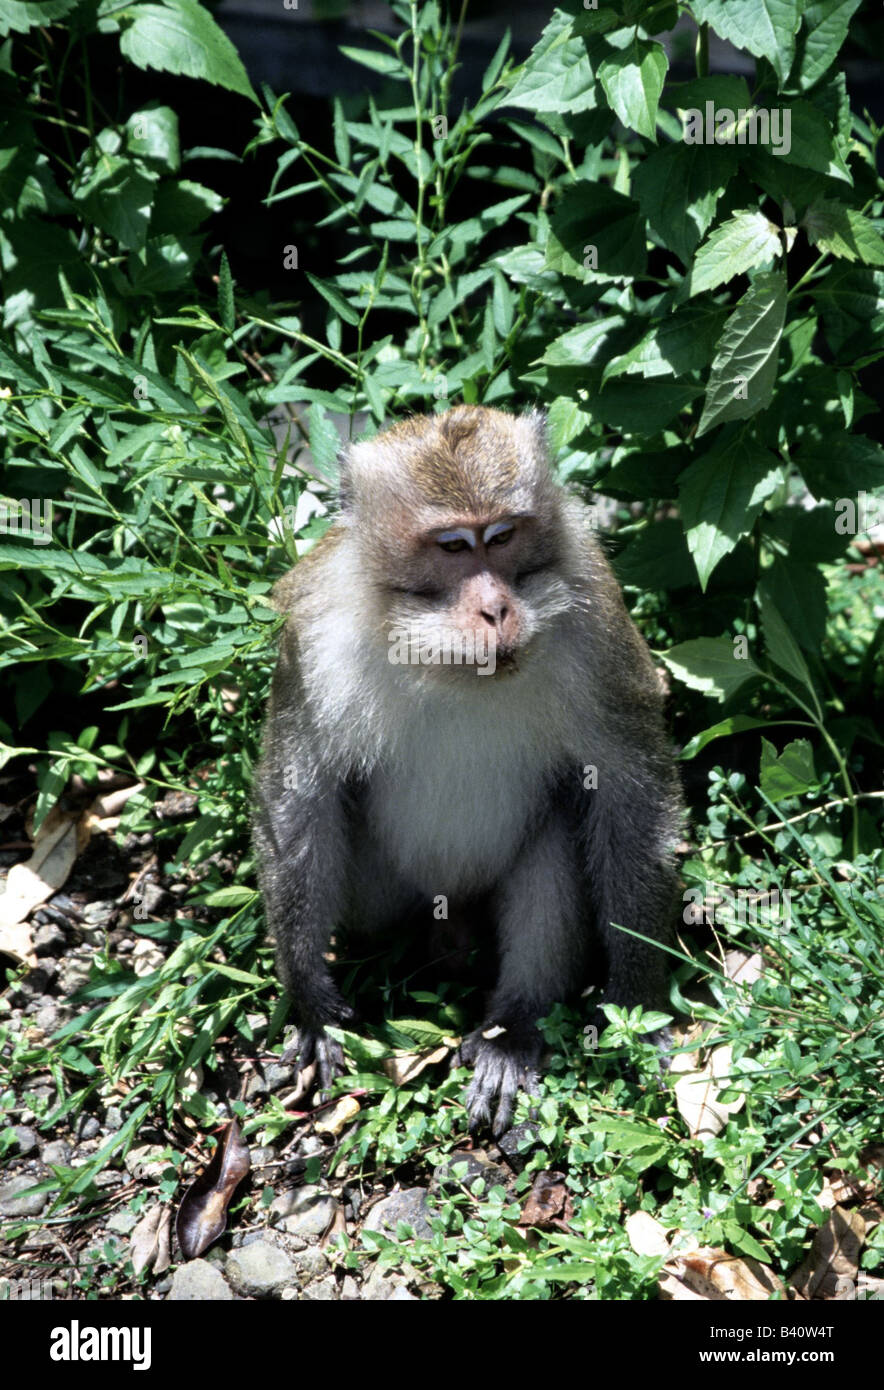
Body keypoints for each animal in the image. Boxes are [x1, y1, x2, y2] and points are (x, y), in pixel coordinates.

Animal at [252, 405, 682, 1135]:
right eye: (454, 547)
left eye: (503, 537)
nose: (496, 608)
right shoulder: (313, 638)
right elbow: (300, 796)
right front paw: (310, 997)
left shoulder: (595, 618)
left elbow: (629, 796)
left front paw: (638, 1000)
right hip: (382, 896)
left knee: (558, 834)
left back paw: (512, 1031)